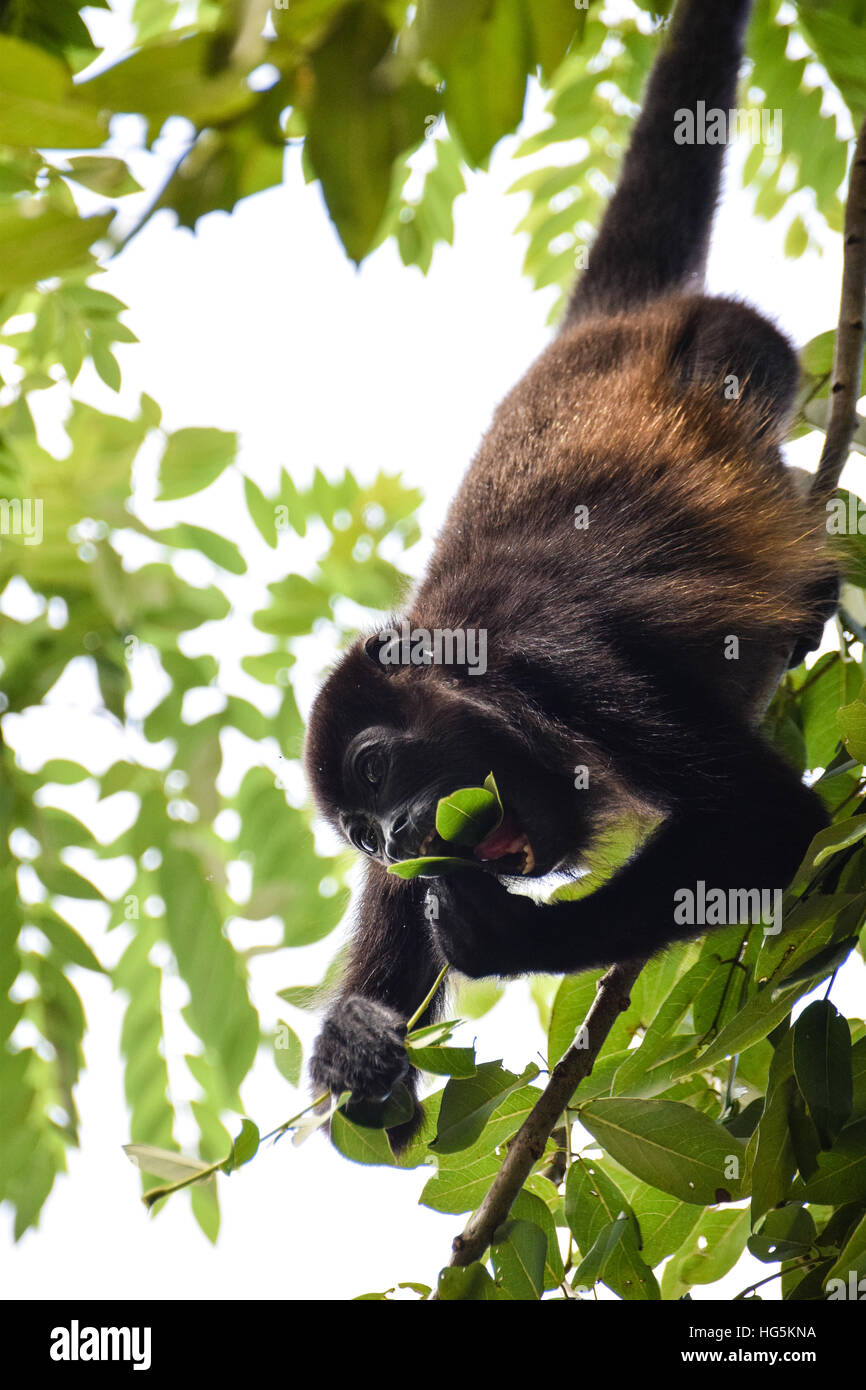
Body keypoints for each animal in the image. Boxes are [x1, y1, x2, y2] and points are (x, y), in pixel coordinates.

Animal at [303, 0, 840, 1145]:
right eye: (364, 831)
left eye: (374, 773)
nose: (399, 835)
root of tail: (601, 325)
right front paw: (351, 1048)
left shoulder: (561, 663)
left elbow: (769, 822)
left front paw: (515, 941)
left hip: (735, 340)